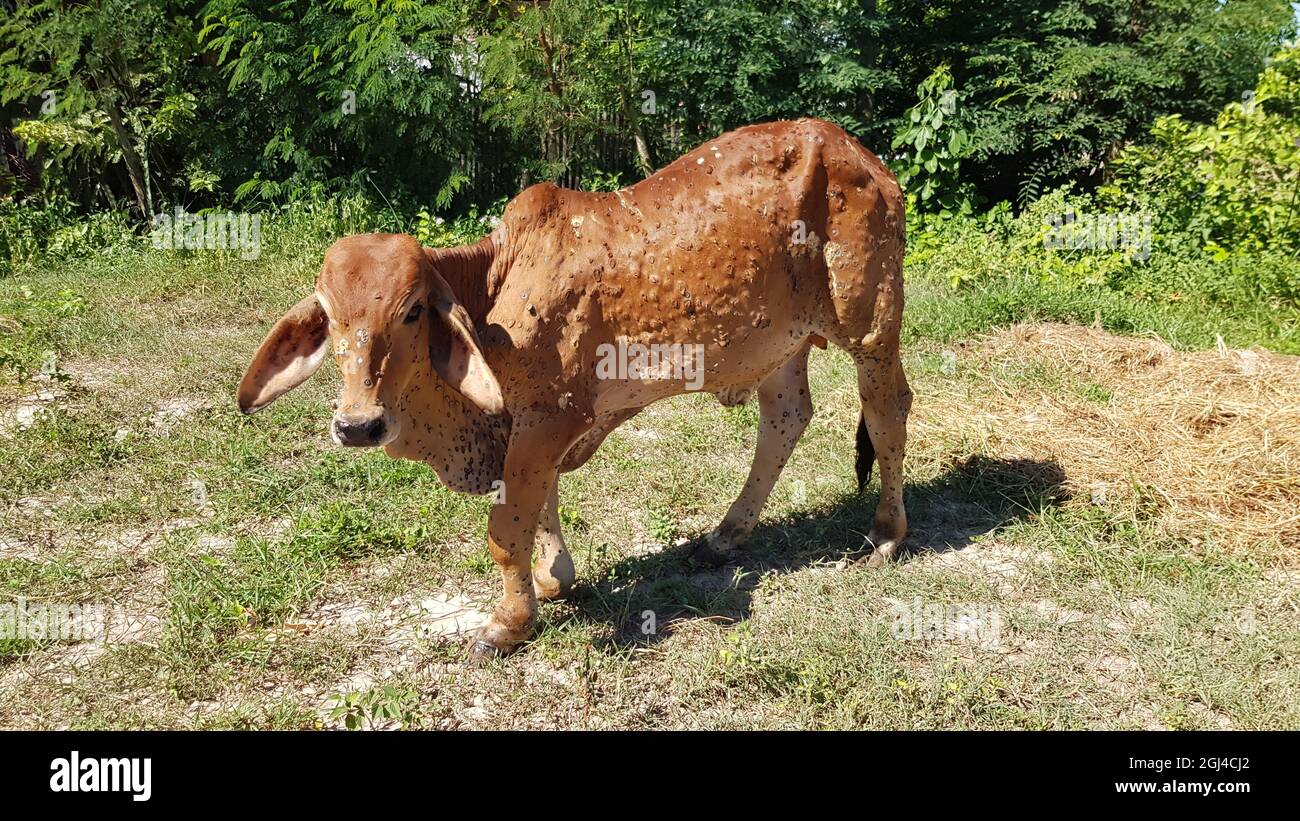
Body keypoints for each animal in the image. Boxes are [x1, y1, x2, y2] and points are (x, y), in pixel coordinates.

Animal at [236, 118, 911, 661]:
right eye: (328, 317)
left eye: (411, 312)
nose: (358, 425)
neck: (493, 287)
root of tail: (859, 152)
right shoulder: (527, 425)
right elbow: (539, 504)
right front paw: (554, 578)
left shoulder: (549, 418)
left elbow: (507, 526)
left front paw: (509, 623)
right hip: (777, 343)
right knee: (787, 418)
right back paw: (724, 536)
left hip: (870, 322)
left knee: (886, 412)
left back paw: (885, 534)